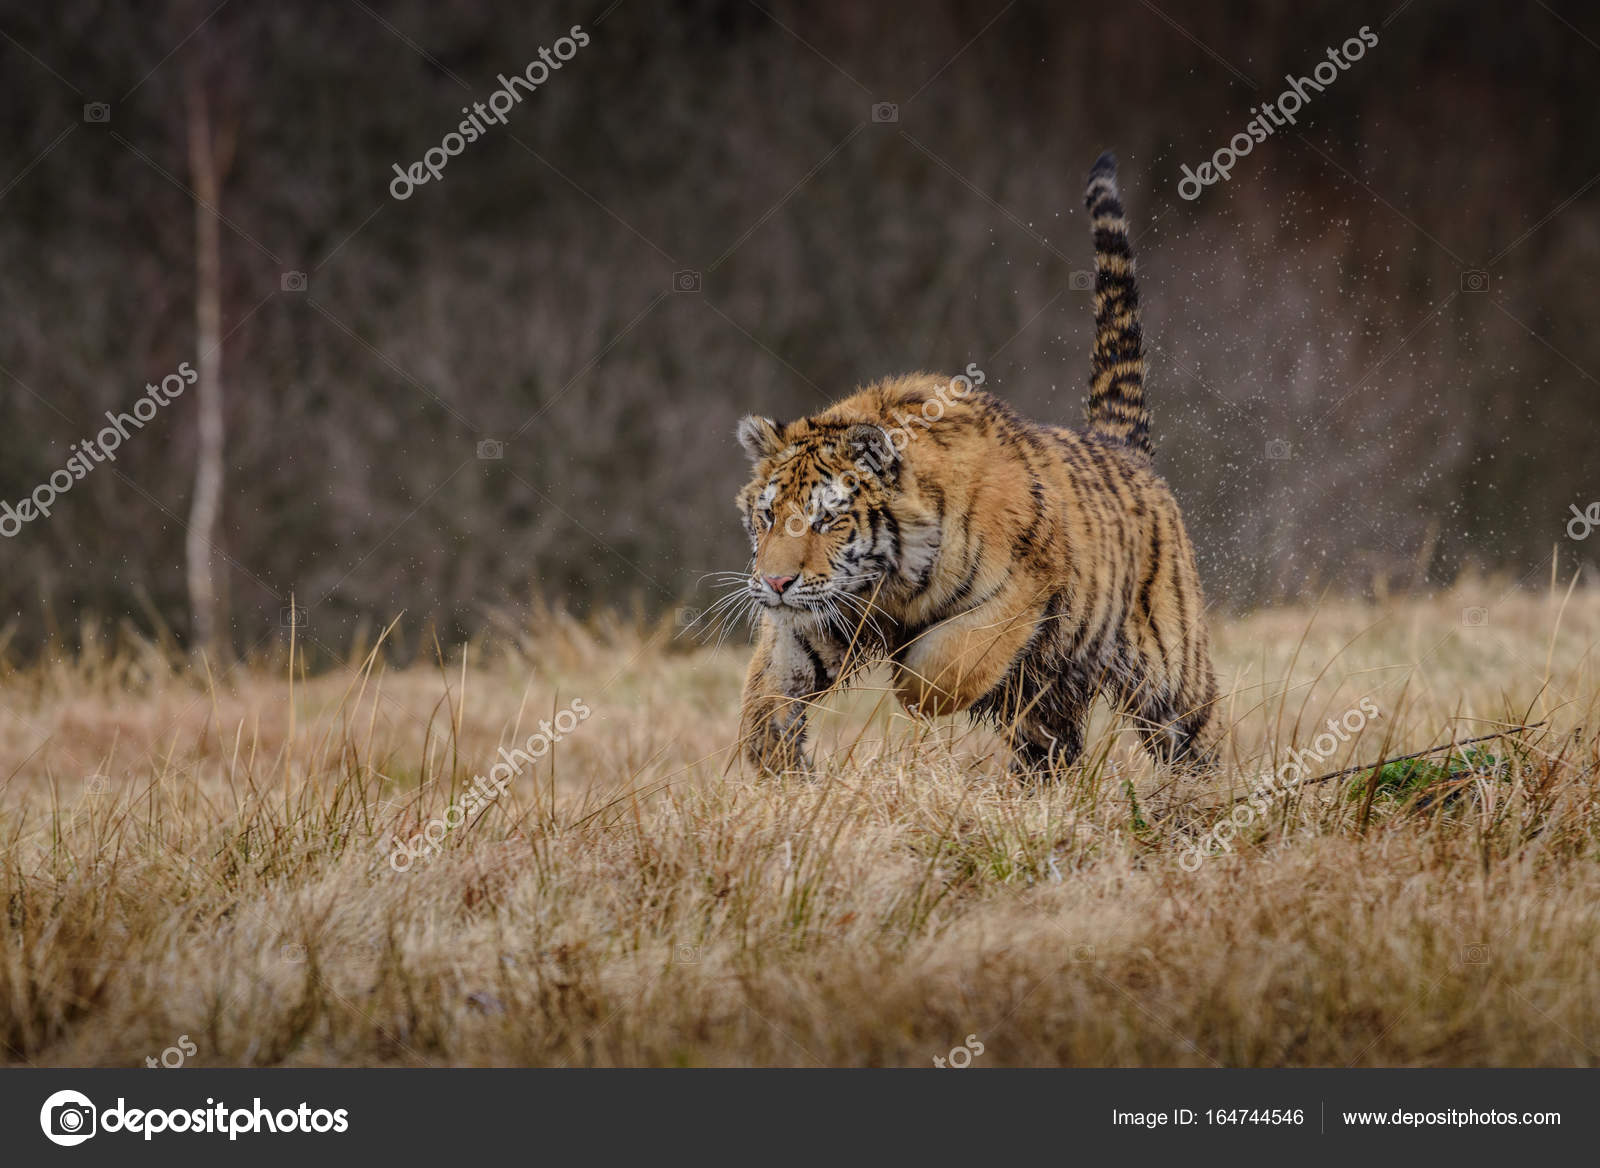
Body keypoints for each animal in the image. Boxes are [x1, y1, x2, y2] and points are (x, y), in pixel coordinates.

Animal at [731, 153, 1217, 778]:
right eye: (767, 518)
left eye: (828, 521)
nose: (774, 582)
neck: (885, 587)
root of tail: (1121, 447)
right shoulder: (815, 616)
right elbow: (769, 689)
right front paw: (775, 763)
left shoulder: (1019, 595)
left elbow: (941, 672)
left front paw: (906, 683)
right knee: (1052, 751)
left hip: (1171, 672)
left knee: (1192, 743)